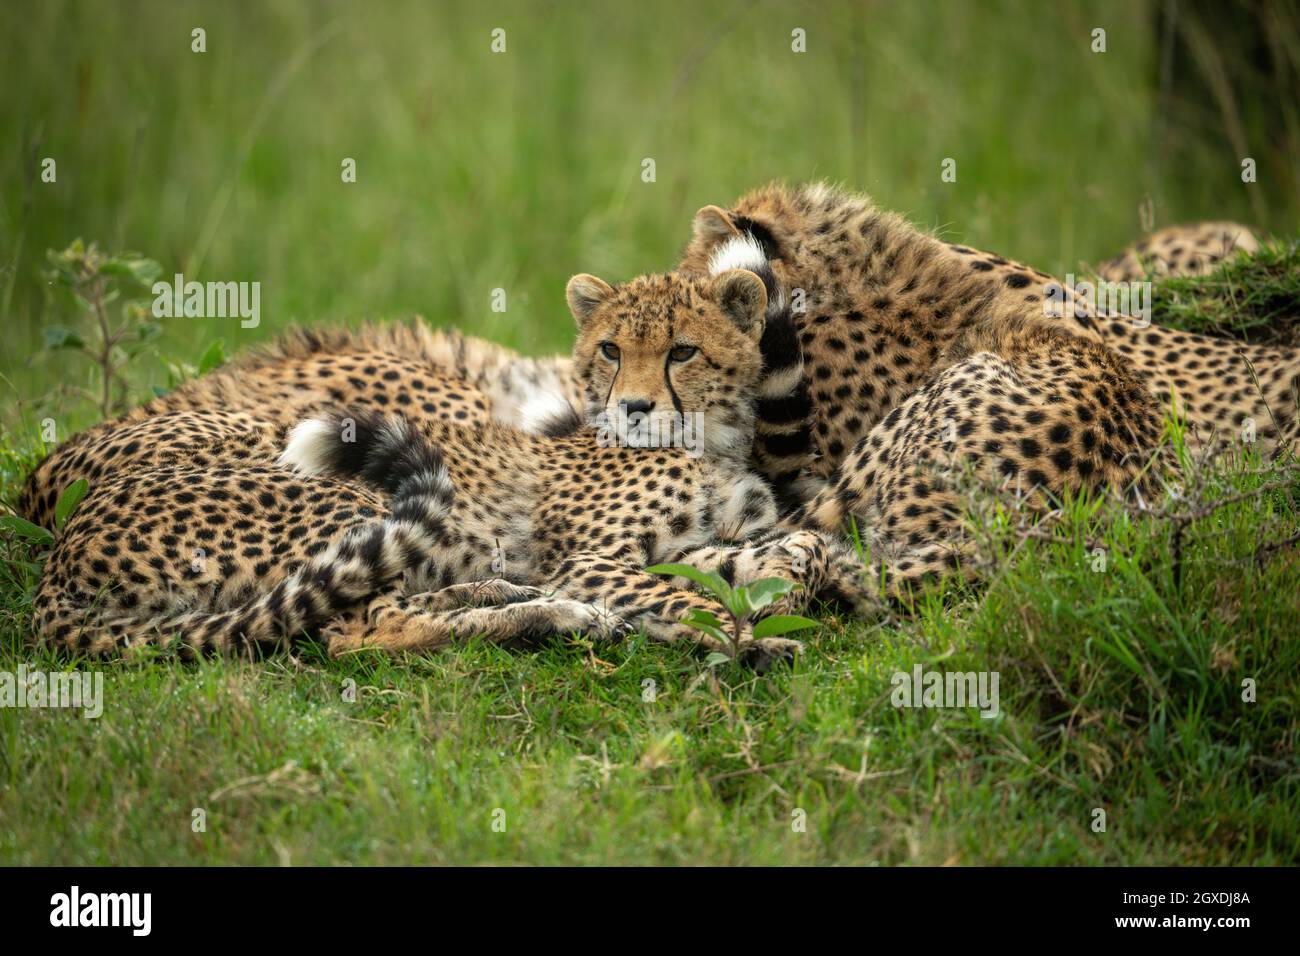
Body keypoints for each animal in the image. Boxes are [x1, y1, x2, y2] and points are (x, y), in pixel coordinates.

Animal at [29, 268, 870, 666]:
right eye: (609, 349)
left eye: (682, 351)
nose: (633, 407)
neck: (712, 439)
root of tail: (62, 552)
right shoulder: (591, 557)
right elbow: (689, 596)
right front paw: (744, 638)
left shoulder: (702, 541)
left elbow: (782, 549)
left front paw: (809, 580)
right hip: (348, 496)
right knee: (358, 628)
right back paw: (560, 616)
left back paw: (524, 601)